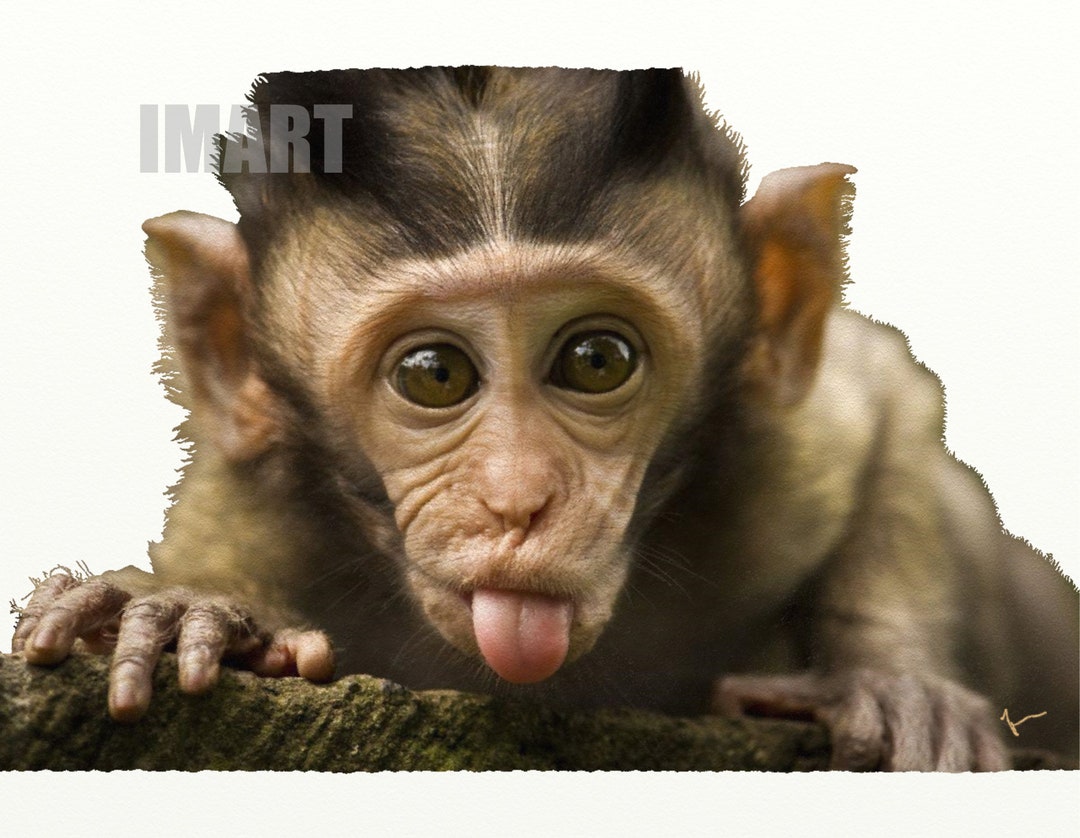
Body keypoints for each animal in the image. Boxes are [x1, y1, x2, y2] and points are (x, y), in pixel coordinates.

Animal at [11, 67, 1078, 771]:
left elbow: (889, 408)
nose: (517, 501)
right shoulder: (254, 501)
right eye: (434, 374)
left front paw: (892, 679)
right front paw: (184, 610)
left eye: (595, 361)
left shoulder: (787, 453)